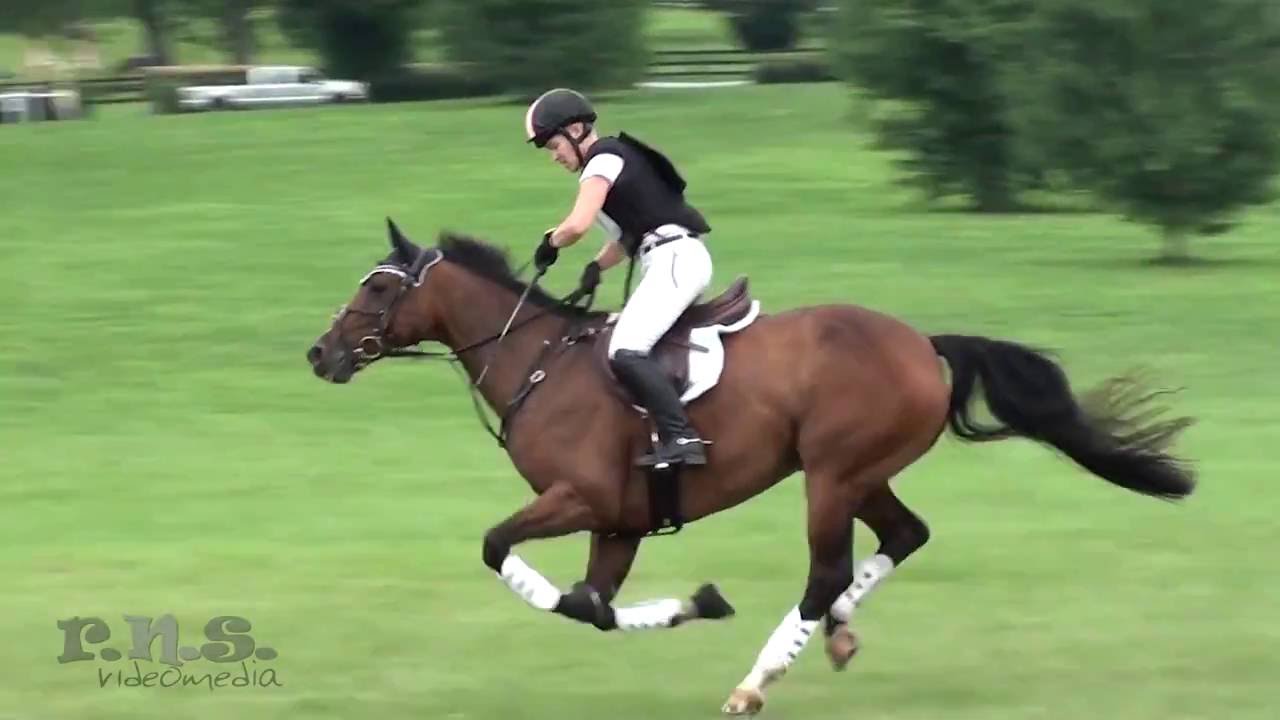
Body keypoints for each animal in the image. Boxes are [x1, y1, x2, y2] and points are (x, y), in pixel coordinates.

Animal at [306, 221, 1196, 716]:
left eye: (378, 288)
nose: (320, 354)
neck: (536, 361)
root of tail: (921, 342)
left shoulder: (580, 498)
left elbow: (503, 553)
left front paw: (704, 604)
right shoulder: (619, 522)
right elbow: (592, 606)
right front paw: (695, 603)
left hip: (830, 476)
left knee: (826, 569)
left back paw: (755, 683)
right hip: (861, 473)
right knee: (903, 536)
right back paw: (839, 631)